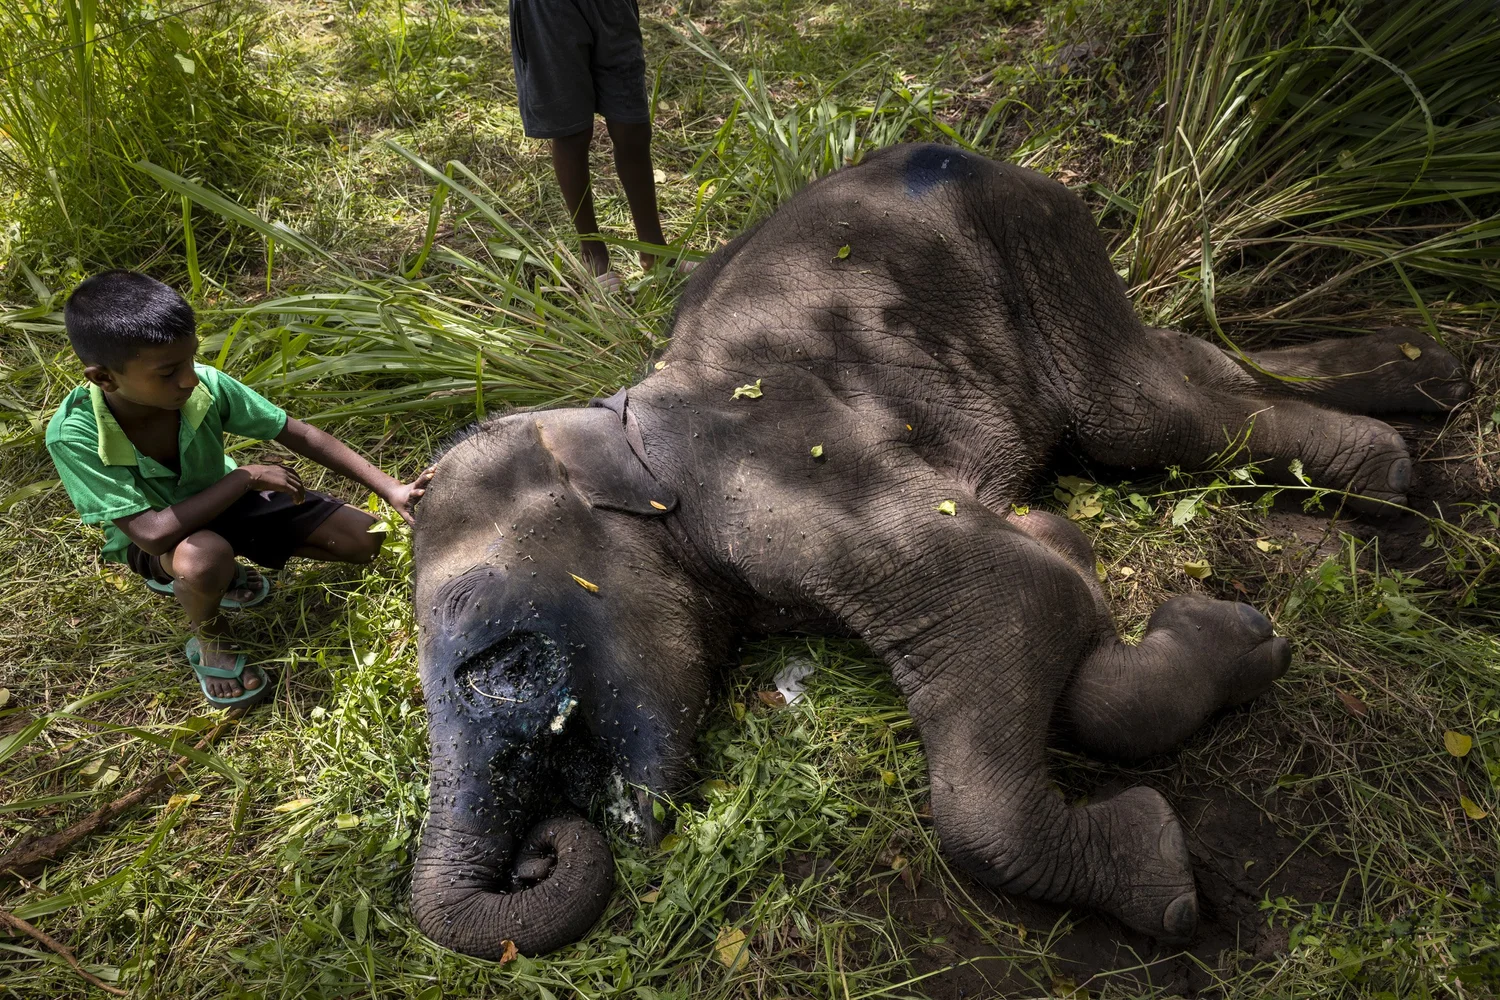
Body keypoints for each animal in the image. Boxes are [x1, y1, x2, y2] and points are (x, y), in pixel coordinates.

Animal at [407, 143, 1470, 958]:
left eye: (499, 661)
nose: (543, 850)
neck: (619, 415)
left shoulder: (772, 475)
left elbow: (1018, 596)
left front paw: (1163, 877)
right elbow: (1055, 601)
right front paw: (1175, 607)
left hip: (1035, 237)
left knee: (1141, 413)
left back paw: (1385, 468)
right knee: (1186, 363)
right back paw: (1430, 376)